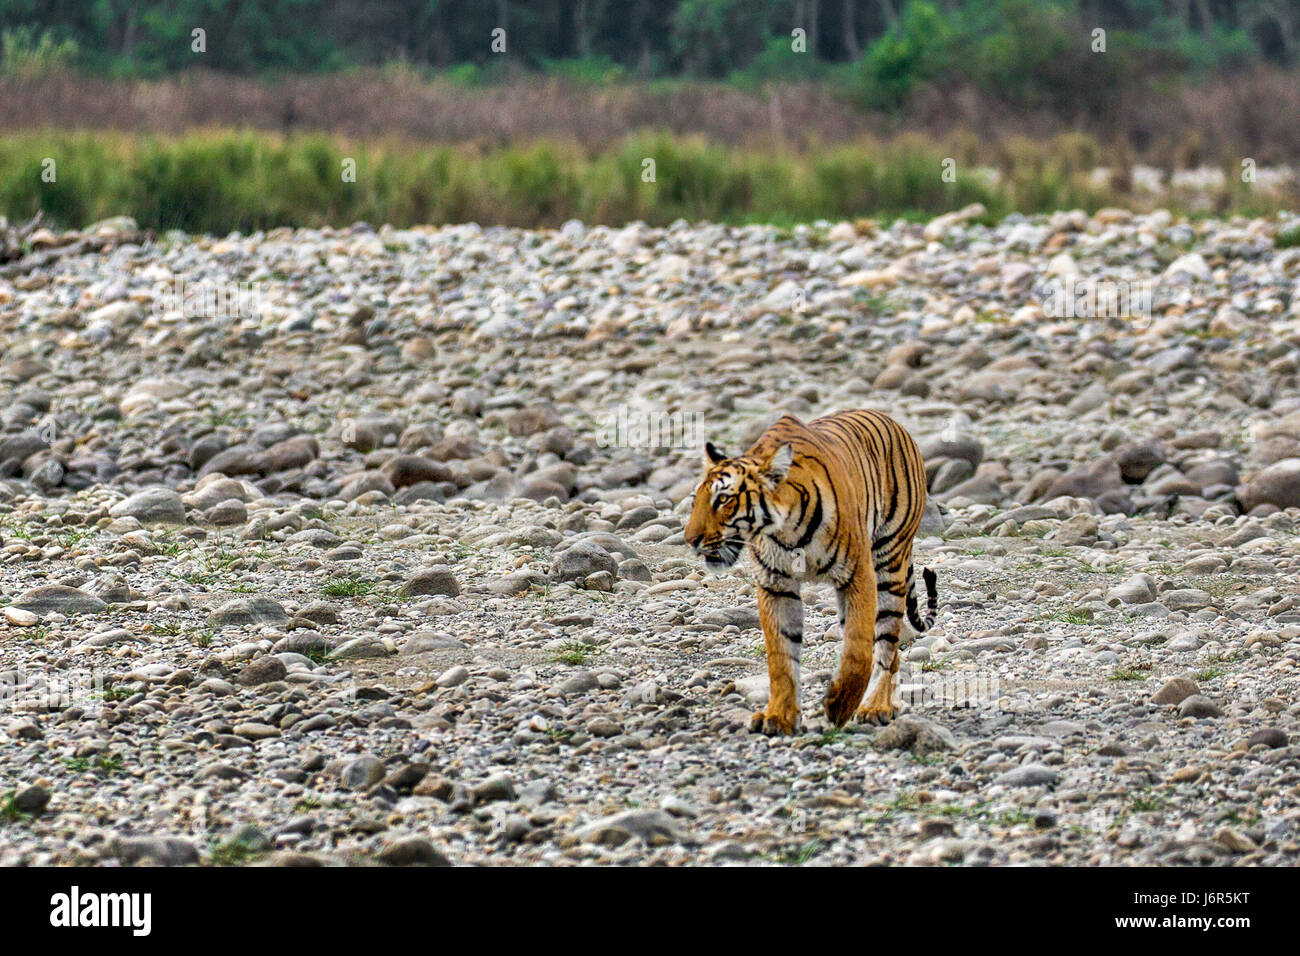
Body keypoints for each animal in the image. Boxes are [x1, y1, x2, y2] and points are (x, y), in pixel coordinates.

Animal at [684, 409, 938, 735]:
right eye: (696, 501)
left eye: (724, 500)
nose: (690, 540)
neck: (785, 531)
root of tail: (893, 421)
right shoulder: (776, 585)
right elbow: (781, 656)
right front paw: (778, 717)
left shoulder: (858, 575)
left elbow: (858, 650)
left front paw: (839, 705)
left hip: (889, 562)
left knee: (886, 646)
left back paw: (876, 706)